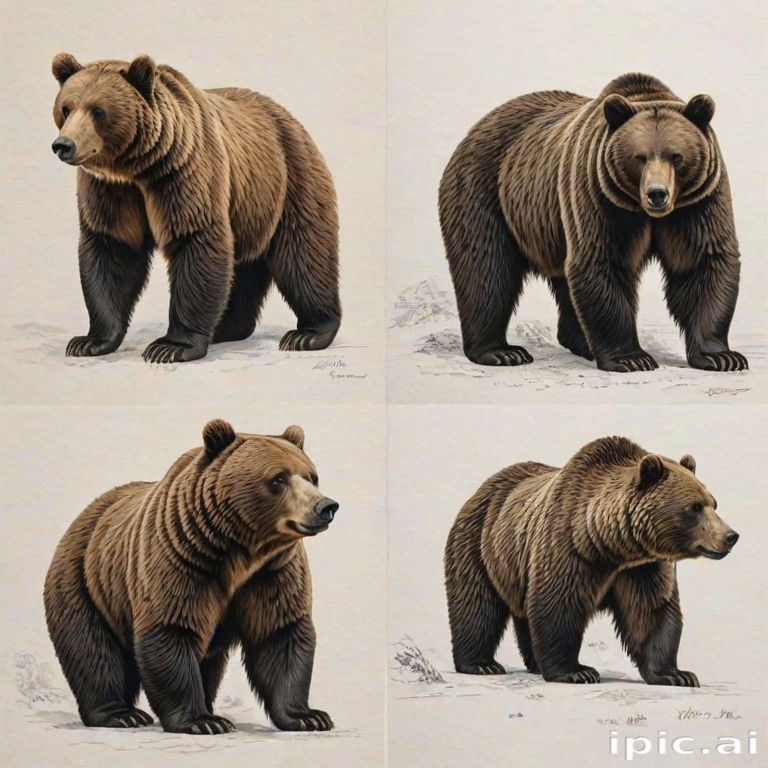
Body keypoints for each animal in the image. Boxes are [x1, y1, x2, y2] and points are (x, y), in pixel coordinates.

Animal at [43, 420, 339, 734]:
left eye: (312, 477)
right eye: (279, 479)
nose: (326, 507)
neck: (240, 550)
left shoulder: (273, 571)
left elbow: (280, 633)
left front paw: (309, 716)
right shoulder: (182, 559)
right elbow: (172, 629)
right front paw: (202, 721)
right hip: (85, 581)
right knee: (93, 651)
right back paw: (121, 714)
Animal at [51, 53, 341, 364]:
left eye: (98, 111)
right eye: (66, 108)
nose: (63, 145)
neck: (136, 168)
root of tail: (290, 118)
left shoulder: (183, 171)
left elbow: (195, 240)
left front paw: (170, 346)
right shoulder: (111, 191)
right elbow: (111, 249)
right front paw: (89, 341)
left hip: (291, 178)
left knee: (303, 253)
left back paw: (309, 333)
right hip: (251, 203)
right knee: (243, 265)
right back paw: (226, 327)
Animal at [438, 73, 748, 373]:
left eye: (677, 156)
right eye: (639, 157)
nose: (657, 194)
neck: (645, 212)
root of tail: (478, 126)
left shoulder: (698, 202)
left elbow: (701, 262)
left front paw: (722, 356)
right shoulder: (598, 193)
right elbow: (602, 261)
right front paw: (631, 358)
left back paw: (581, 343)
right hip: (485, 190)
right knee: (487, 268)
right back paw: (501, 351)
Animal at [444, 436, 739, 685]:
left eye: (713, 503)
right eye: (695, 507)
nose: (730, 536)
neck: (612, 546)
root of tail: (482, 488)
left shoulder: (644, 568)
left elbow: (651, 613)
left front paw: (676, 674)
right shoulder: (569, 548)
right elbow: (557, 604)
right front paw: (577, 671)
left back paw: (534, 664)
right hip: (480, 545)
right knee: (477, 605)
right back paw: (482, 664)